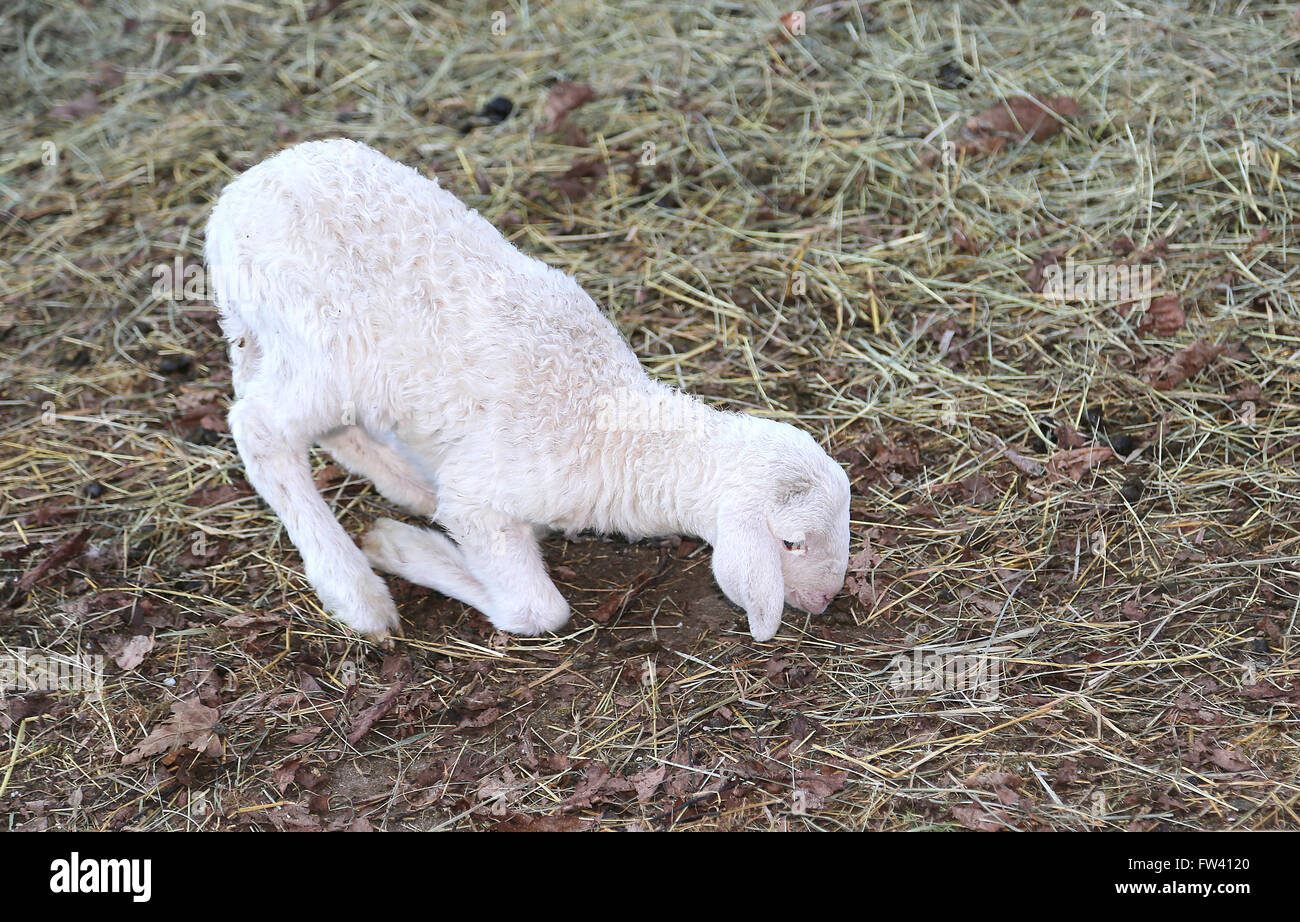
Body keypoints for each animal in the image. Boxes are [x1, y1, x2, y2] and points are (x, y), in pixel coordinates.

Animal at [204, 138, 850, 643]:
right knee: (258, 429)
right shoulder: (480, 500)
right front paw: (400, 549)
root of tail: (229, 208)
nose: (826, 602)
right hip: (324, 354)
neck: (609, 425)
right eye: (791, 544)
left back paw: (413, 486)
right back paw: (356, 589)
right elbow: (537, 610)